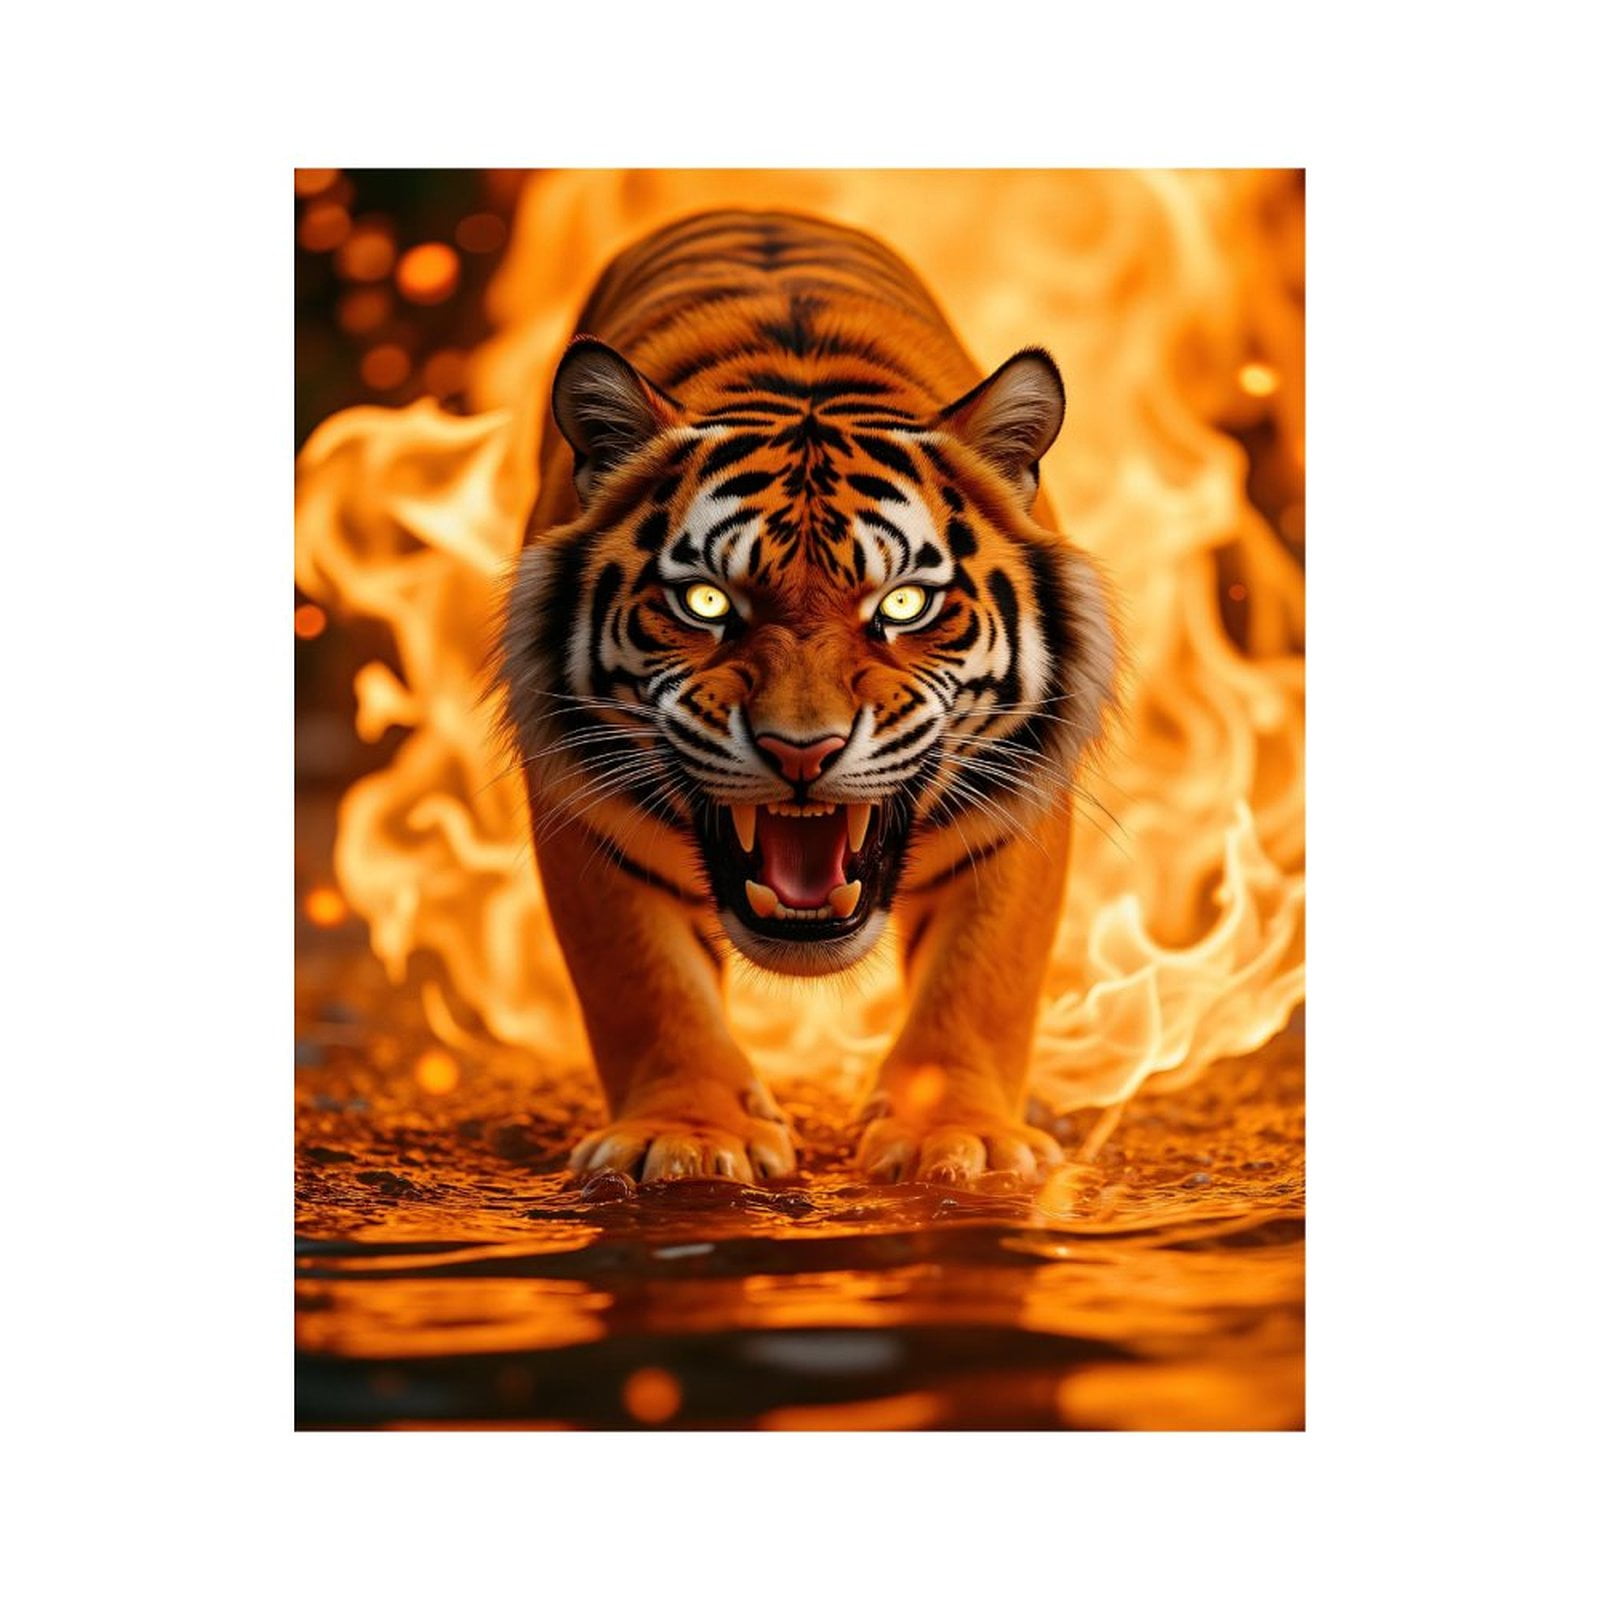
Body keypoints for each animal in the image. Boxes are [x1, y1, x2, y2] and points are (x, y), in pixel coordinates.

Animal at [500, 208, 1116, 1187]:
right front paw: (686, 1134)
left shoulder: (1020, 799)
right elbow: (644, 982)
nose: (802, 751)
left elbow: (981, 979)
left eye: (902, 605)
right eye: (706, 602)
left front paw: (960, 1139)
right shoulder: (582, 804)